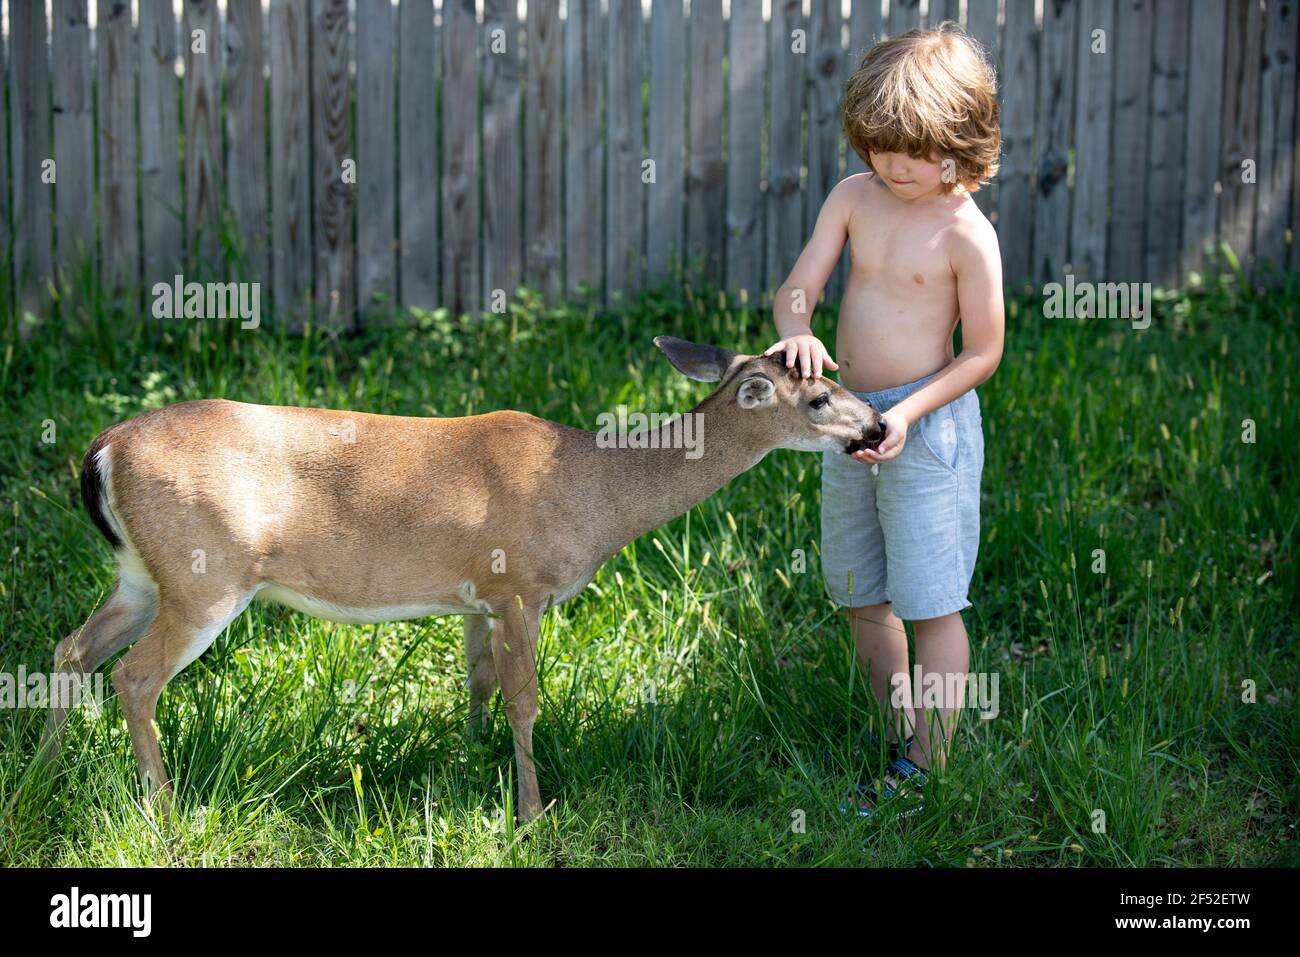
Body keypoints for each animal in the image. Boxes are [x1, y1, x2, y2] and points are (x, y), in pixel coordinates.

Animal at [39, 337, 885, 821]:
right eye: (820, 397)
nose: (877, 425)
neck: (593, 489)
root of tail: (103, 450)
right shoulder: (520, 584)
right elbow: (524, 699)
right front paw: (534, 810)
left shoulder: (475, 592)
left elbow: (476, 682)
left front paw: (468, 763)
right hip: (205, 574)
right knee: (135, 677)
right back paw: (164, 810)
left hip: (140, 574)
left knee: (69, 650)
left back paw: (46, 774)